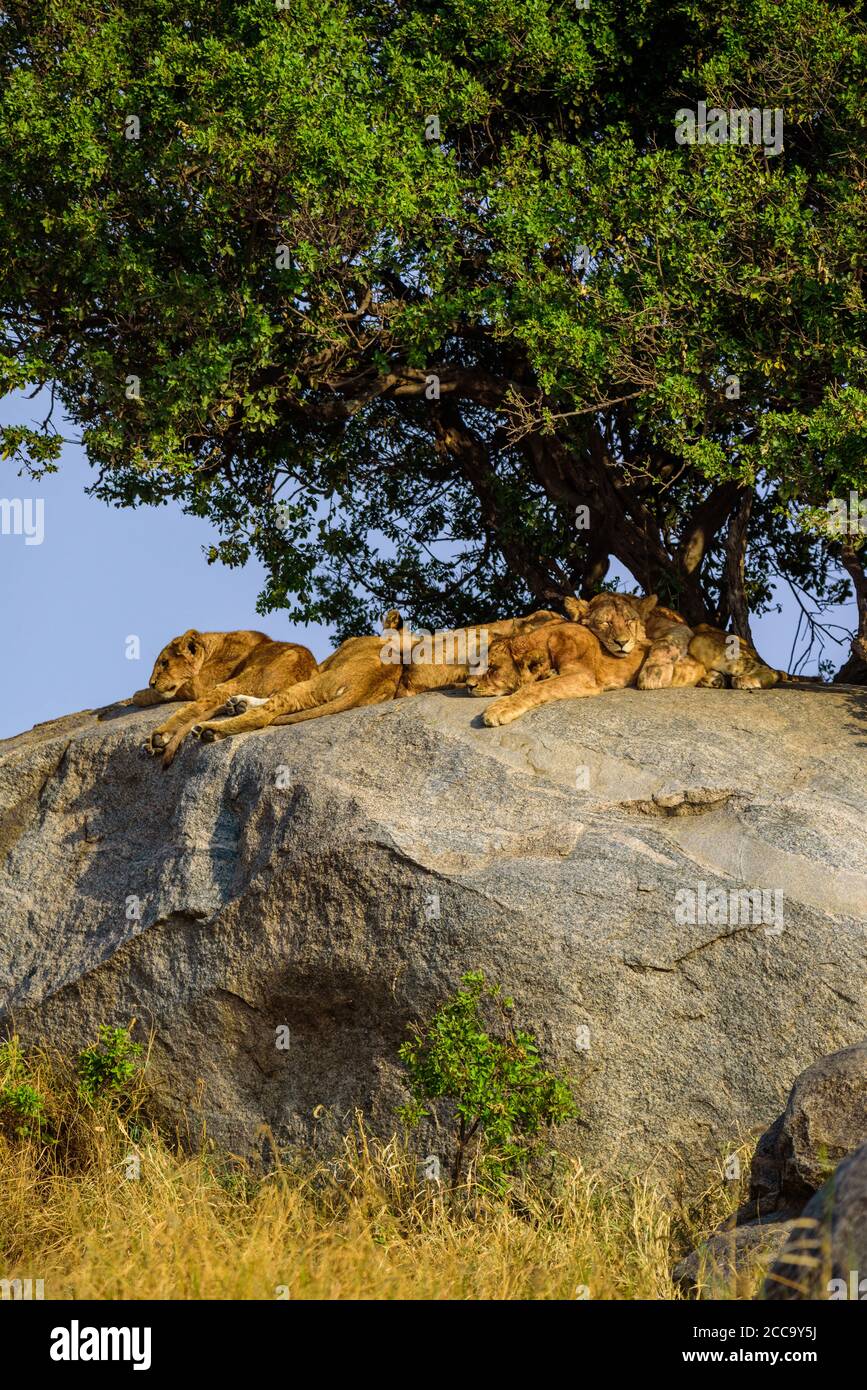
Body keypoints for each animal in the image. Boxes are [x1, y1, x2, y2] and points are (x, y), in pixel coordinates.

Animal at [135, 628, 317, 765]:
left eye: (165, 663)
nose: (151, 683)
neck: (212, 650)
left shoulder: (200, 686)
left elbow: (165, 694)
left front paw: (138, 696)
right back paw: (239, 706)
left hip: (236, 683)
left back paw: (158, 738)